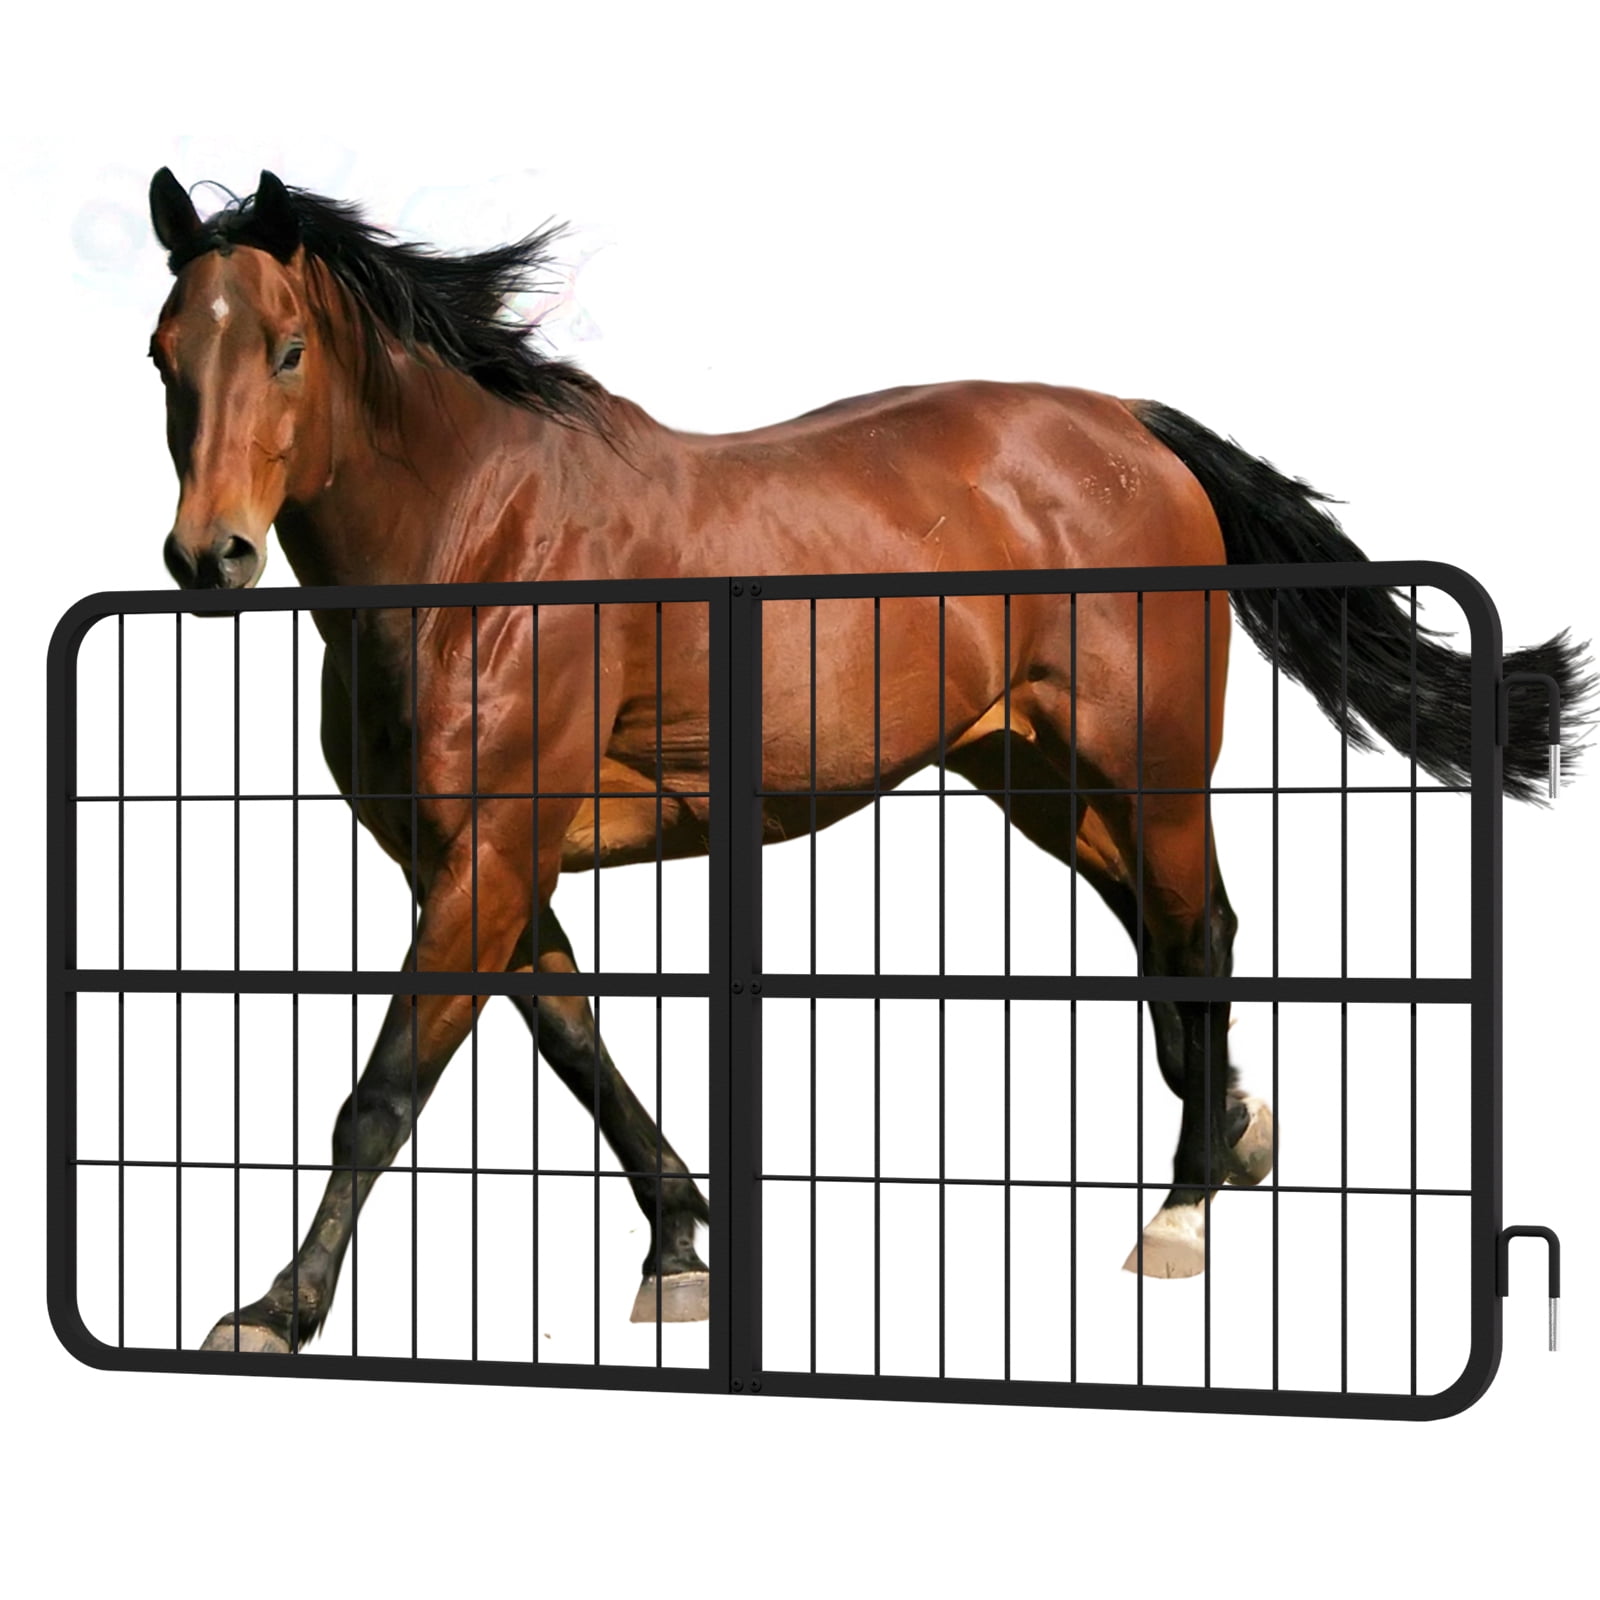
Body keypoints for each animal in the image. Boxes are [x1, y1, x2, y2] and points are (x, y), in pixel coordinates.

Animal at [144, 168, 1588, 1353]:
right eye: (164, 354)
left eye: (286, 348)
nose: (210, 558)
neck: (487, 547)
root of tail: (1131, 428)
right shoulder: (477, 859)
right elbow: (575, 1042)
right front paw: (680, 1253)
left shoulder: (492, 849)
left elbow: (384, 1089)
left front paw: (274, 1310)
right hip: (1039, 782)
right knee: (1161, 939)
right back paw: (1236, 1134)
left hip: (1153, 770)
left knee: (1202, 934)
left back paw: (1179, 1213)